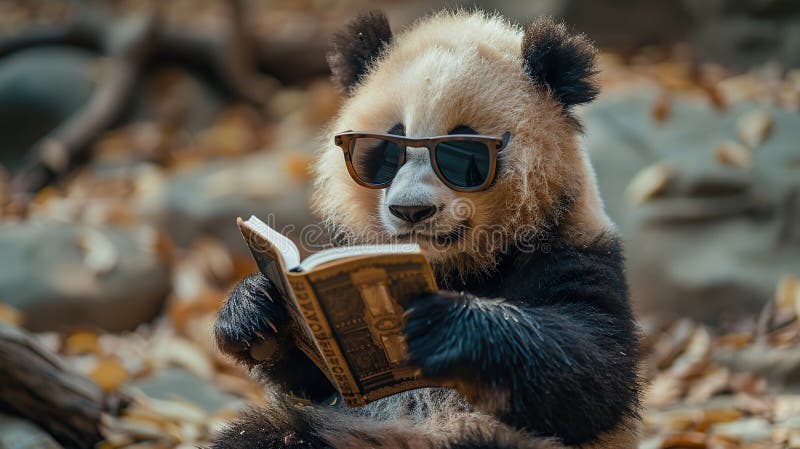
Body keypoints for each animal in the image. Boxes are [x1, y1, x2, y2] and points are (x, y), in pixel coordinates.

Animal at [212, 10, 640, 449]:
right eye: (386, 147)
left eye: (462, 152)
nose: (410, 210)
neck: (453, 266)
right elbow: (313, 378)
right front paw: (254, 309)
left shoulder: (572, 247)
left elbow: (595, 371)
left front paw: (440, 325)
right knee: (264, 435)